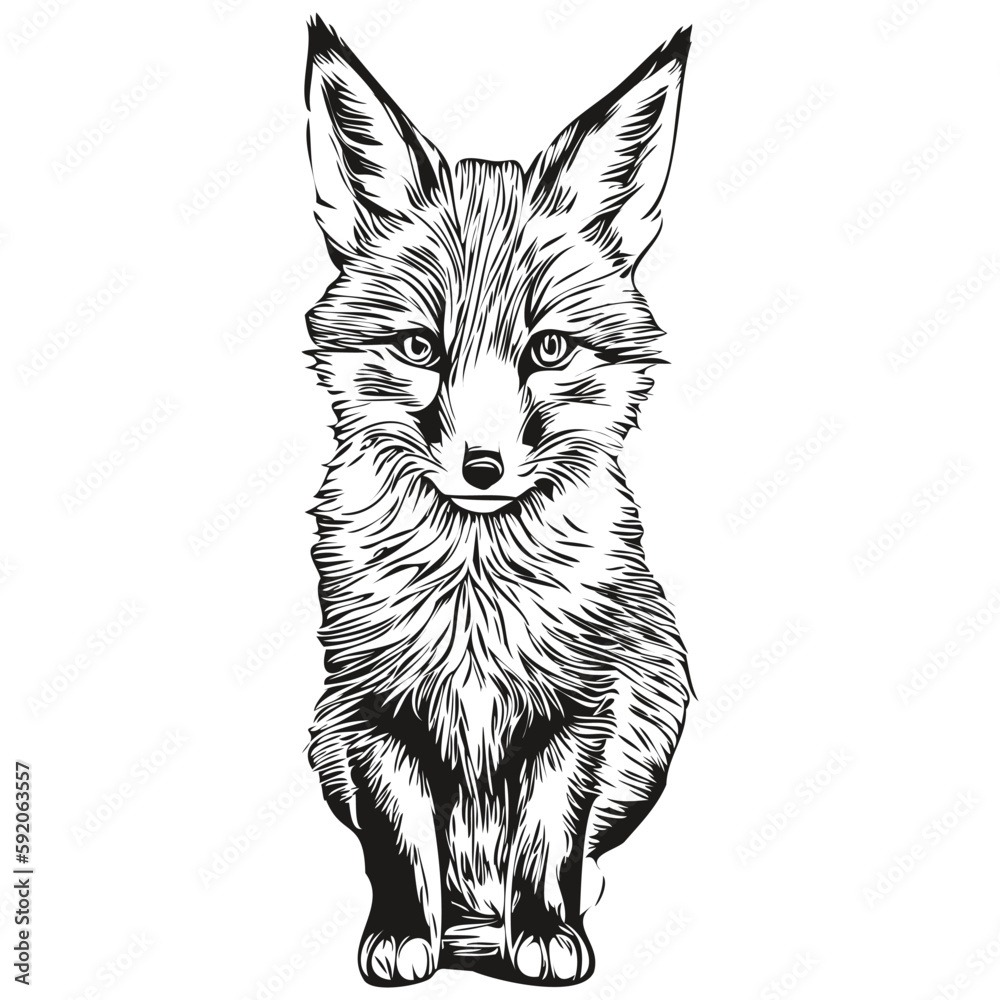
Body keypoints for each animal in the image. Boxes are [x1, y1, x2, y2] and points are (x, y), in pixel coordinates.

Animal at [303, 16, 693, 987]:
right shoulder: (371, 711)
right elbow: (399, 841)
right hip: (322, 731)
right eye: (418, 347)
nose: (482, 467)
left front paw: (544, 931)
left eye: (548, 349)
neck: (475, 603)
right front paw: (407, 932)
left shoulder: (581, 711)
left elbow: (551, 837)